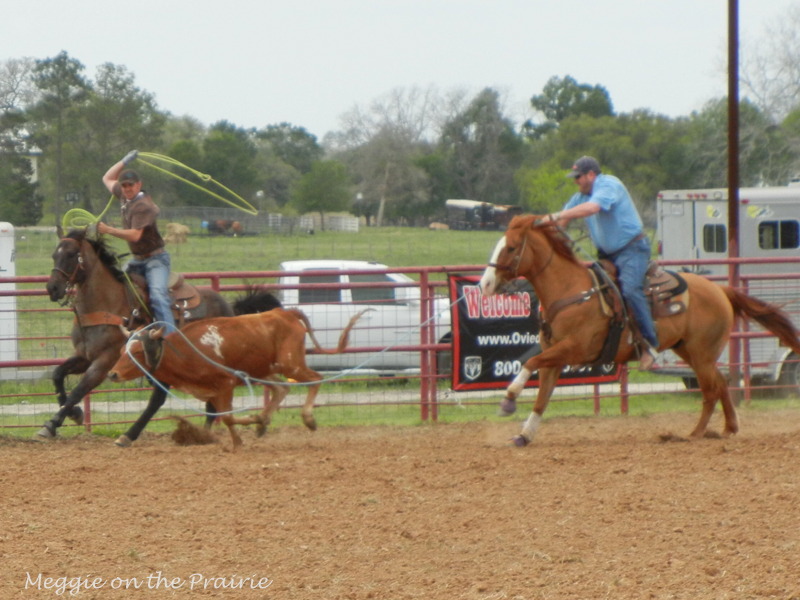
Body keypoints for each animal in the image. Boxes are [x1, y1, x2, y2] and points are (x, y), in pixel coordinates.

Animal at [39, 227, 281, 445]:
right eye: (54, 254)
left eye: (71, 254)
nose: (53, 288)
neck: (106, 306)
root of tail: (228, 308)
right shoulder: (84, 356)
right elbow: (58, 375)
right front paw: (75, 414)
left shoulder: (105, 361)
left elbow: (79, 389)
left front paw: (50, 425)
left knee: (162, 397)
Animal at [479, 214, 800, 447]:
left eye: (510, 247)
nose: (484, 284)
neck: (571, 291)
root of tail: (720, 290)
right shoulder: (554, 356)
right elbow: (542, 396)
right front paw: (525, 435)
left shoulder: (574, 349)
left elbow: (528, 362)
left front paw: (508, 399)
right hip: (691, 351)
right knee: (720, 383)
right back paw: (729, 428)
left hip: (701, 352)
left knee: (710, 390)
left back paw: (693, 434)